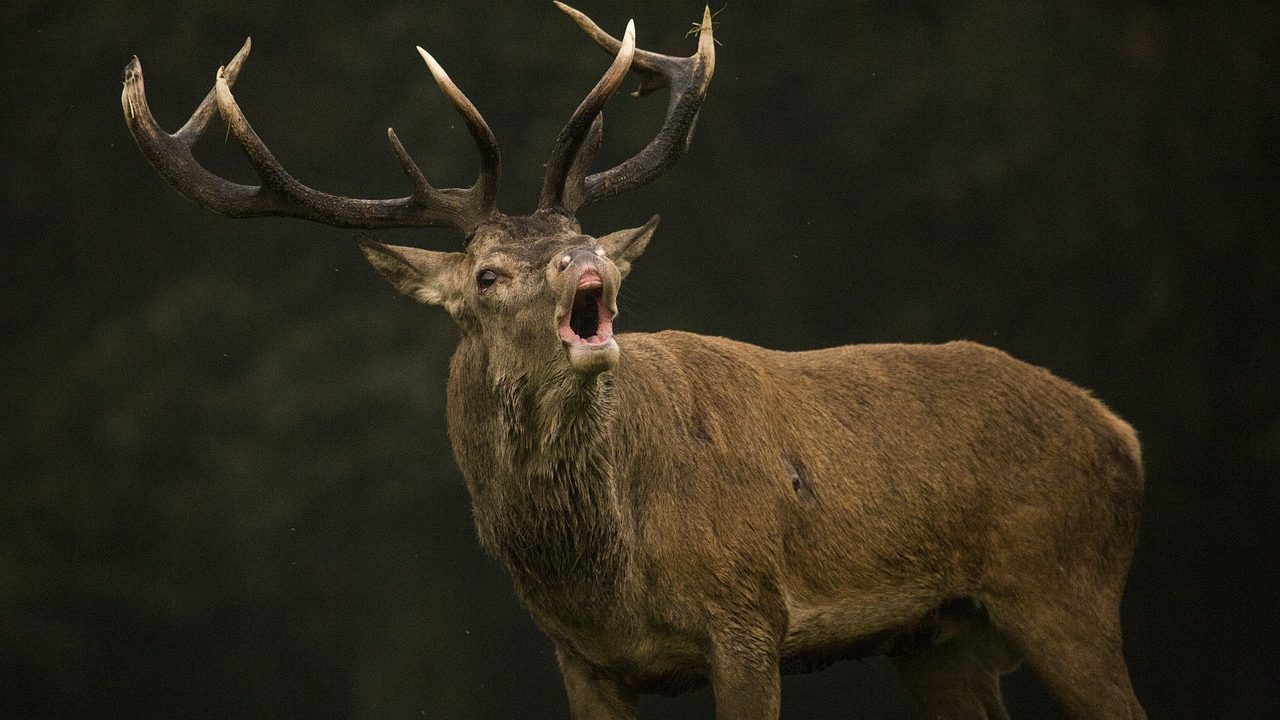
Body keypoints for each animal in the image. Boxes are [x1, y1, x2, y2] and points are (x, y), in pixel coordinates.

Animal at [121, 4, 1147, 719]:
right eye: (488, 274)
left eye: (578, 235)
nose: (590, 261)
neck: (605, 568)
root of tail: (1122, 434)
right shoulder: (582, 658)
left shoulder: (748, 613)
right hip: (939, 639)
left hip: (1064, 585)